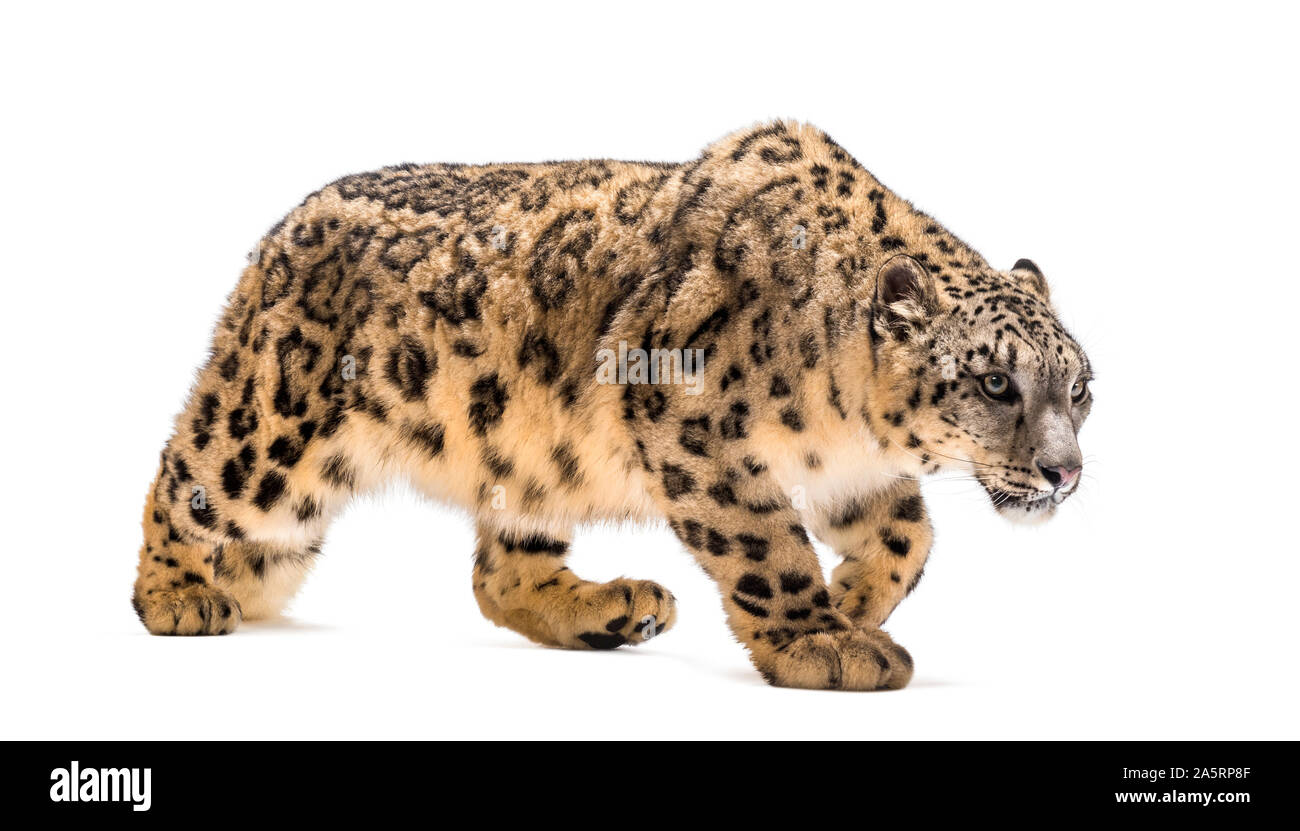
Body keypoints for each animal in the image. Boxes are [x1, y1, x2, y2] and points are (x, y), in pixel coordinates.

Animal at [131, 120, 1092, 690]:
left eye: (1081, 387)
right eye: (996, 382)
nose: (1064, 472)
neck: (846, 429)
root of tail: (279, 235)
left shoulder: (848, 466)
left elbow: (908, 535)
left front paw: (851, 601)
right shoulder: (694, 424)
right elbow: (767, 542)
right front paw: (822, 639)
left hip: (526, 461)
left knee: (500, 572)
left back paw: (614, 607)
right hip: (270, 432)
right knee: (188, 476)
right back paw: (179, 595)